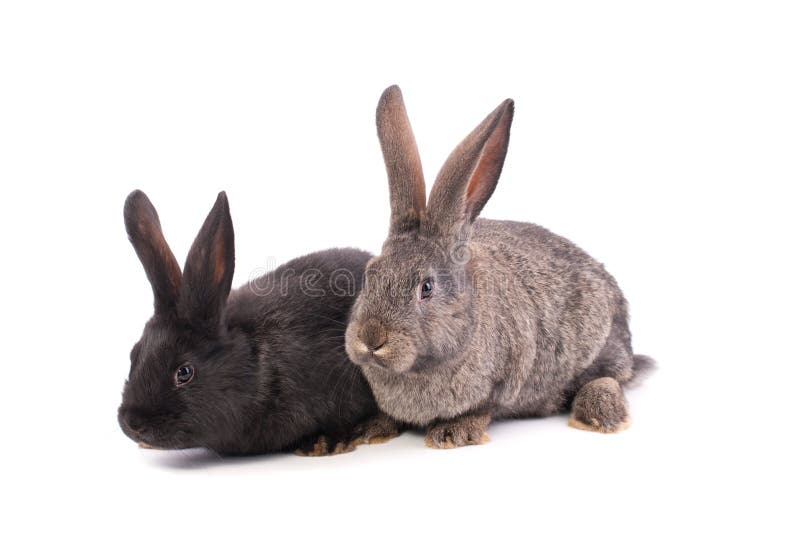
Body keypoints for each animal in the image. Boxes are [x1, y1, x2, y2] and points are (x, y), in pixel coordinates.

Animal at [344, 86, 654, 449]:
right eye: (370, 274)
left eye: (426, 288)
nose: (371, 338)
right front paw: (370, 429)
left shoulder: (507, 376)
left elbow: (485, 408)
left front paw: (452, 434)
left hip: (600, 348)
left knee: (608, 377)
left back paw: (600, 417)